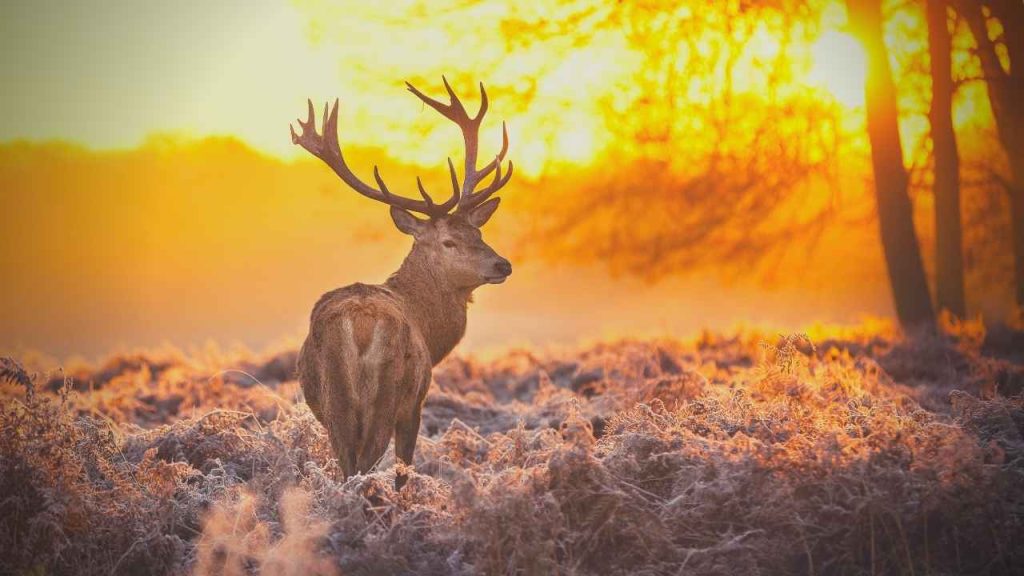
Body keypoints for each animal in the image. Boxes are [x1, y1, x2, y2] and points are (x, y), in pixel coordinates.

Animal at [291, 78, 513, 489]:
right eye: (449, 241)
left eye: (478, 232)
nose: (502, 264)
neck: (430, 330)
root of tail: (360, 324)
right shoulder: (415, 403)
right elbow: (403, 471)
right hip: (387, 395)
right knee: (364, 466)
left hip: (334, 403)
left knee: (347, 466)